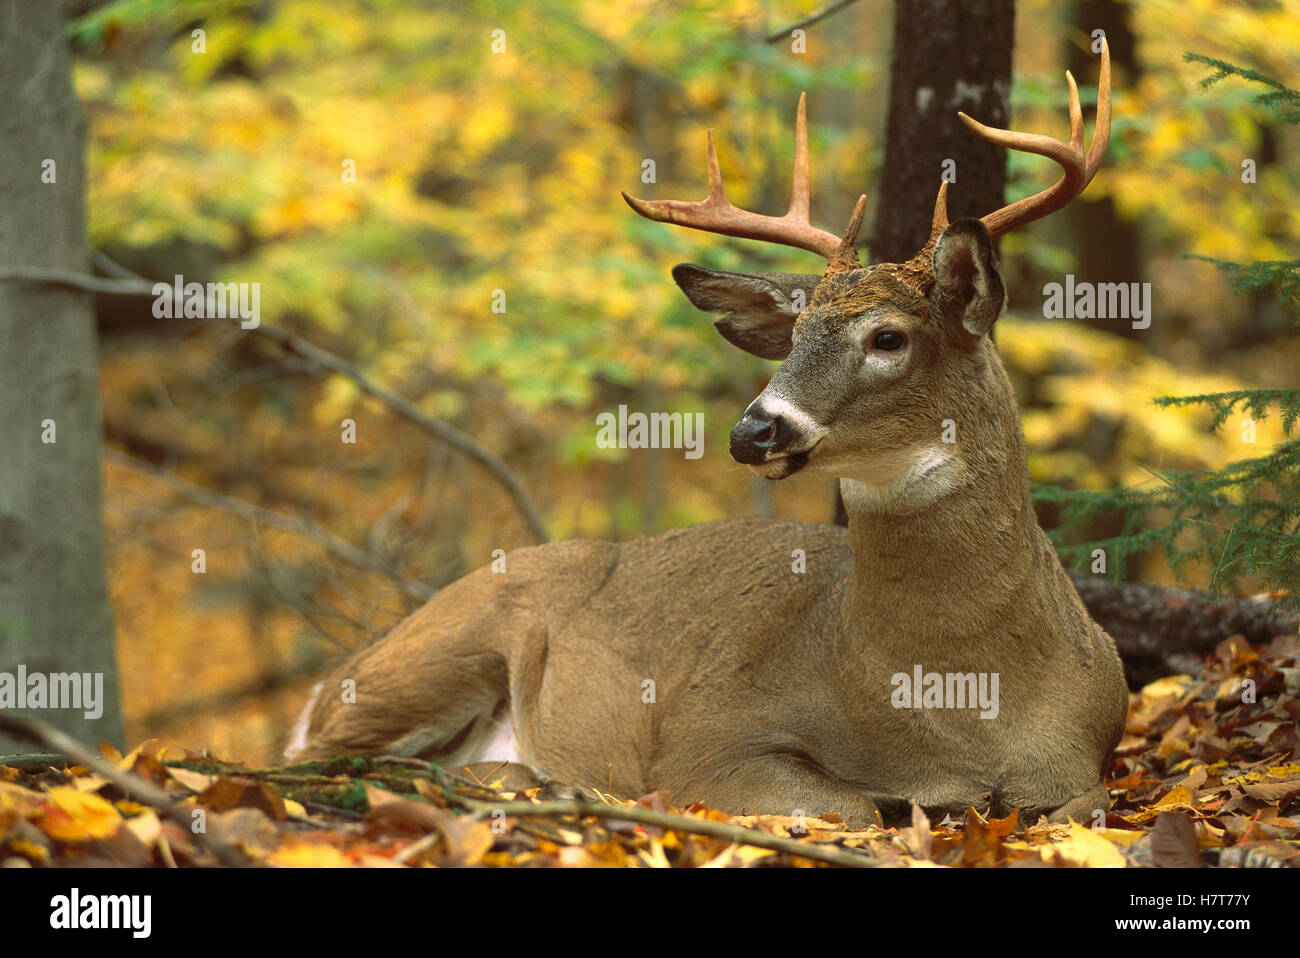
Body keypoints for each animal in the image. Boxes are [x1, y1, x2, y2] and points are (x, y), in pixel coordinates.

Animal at [287, 44, 1129, 826]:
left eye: (888, 337)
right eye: (794, 337)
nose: (754, 430)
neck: (965, 702)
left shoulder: (1087, 762)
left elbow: (1082, 803)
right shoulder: (712, 735)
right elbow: (852, 806)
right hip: (435, 651)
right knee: (316, 759)